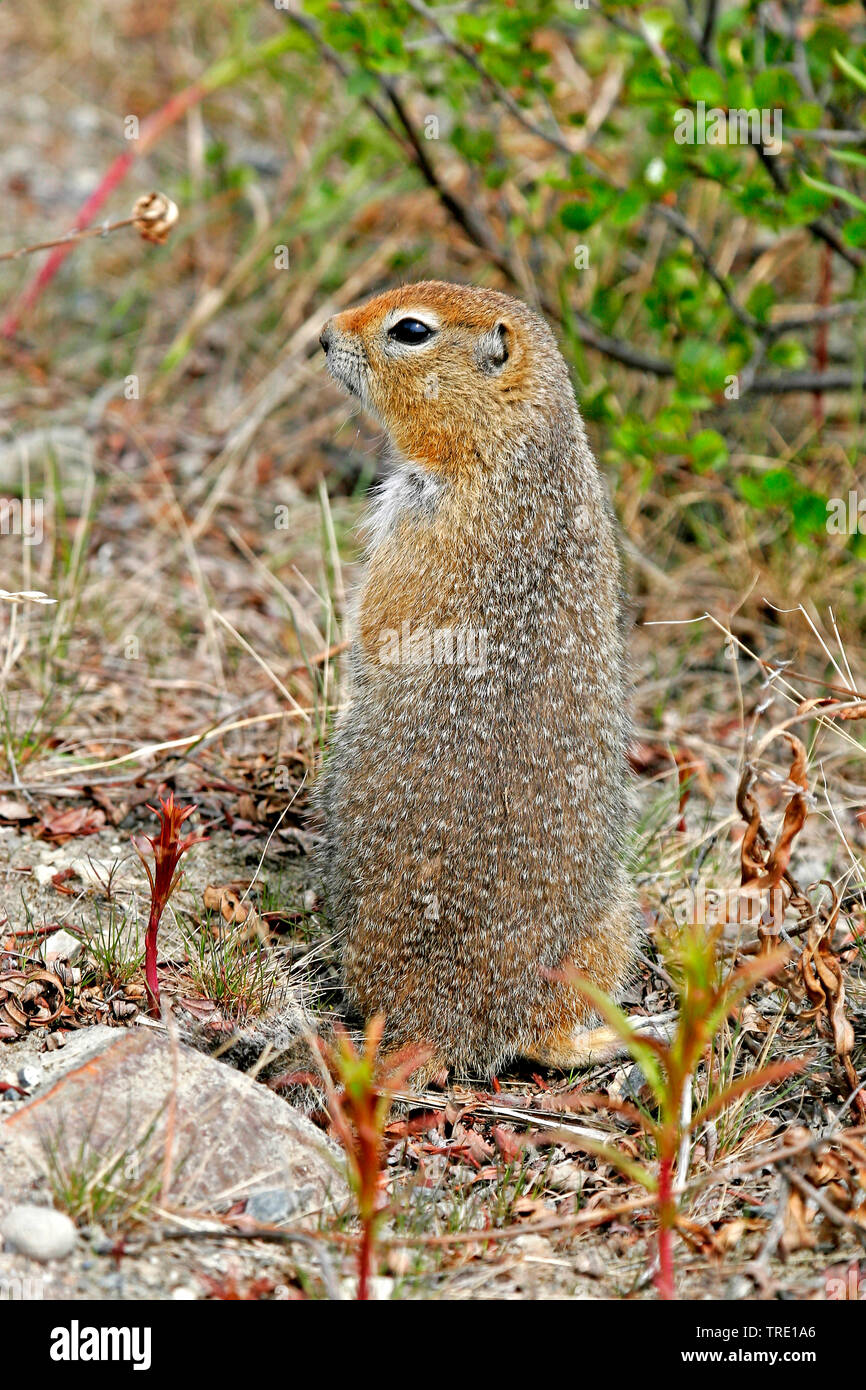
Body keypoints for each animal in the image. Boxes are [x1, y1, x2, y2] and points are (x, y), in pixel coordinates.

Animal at [317, 281, 638, 1081]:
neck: (519, 449)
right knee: (544, 1041)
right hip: (615, 913)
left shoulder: (420, 517)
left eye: (410, 331)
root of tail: (448, 1022)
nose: (323, 335)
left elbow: (379, 614)